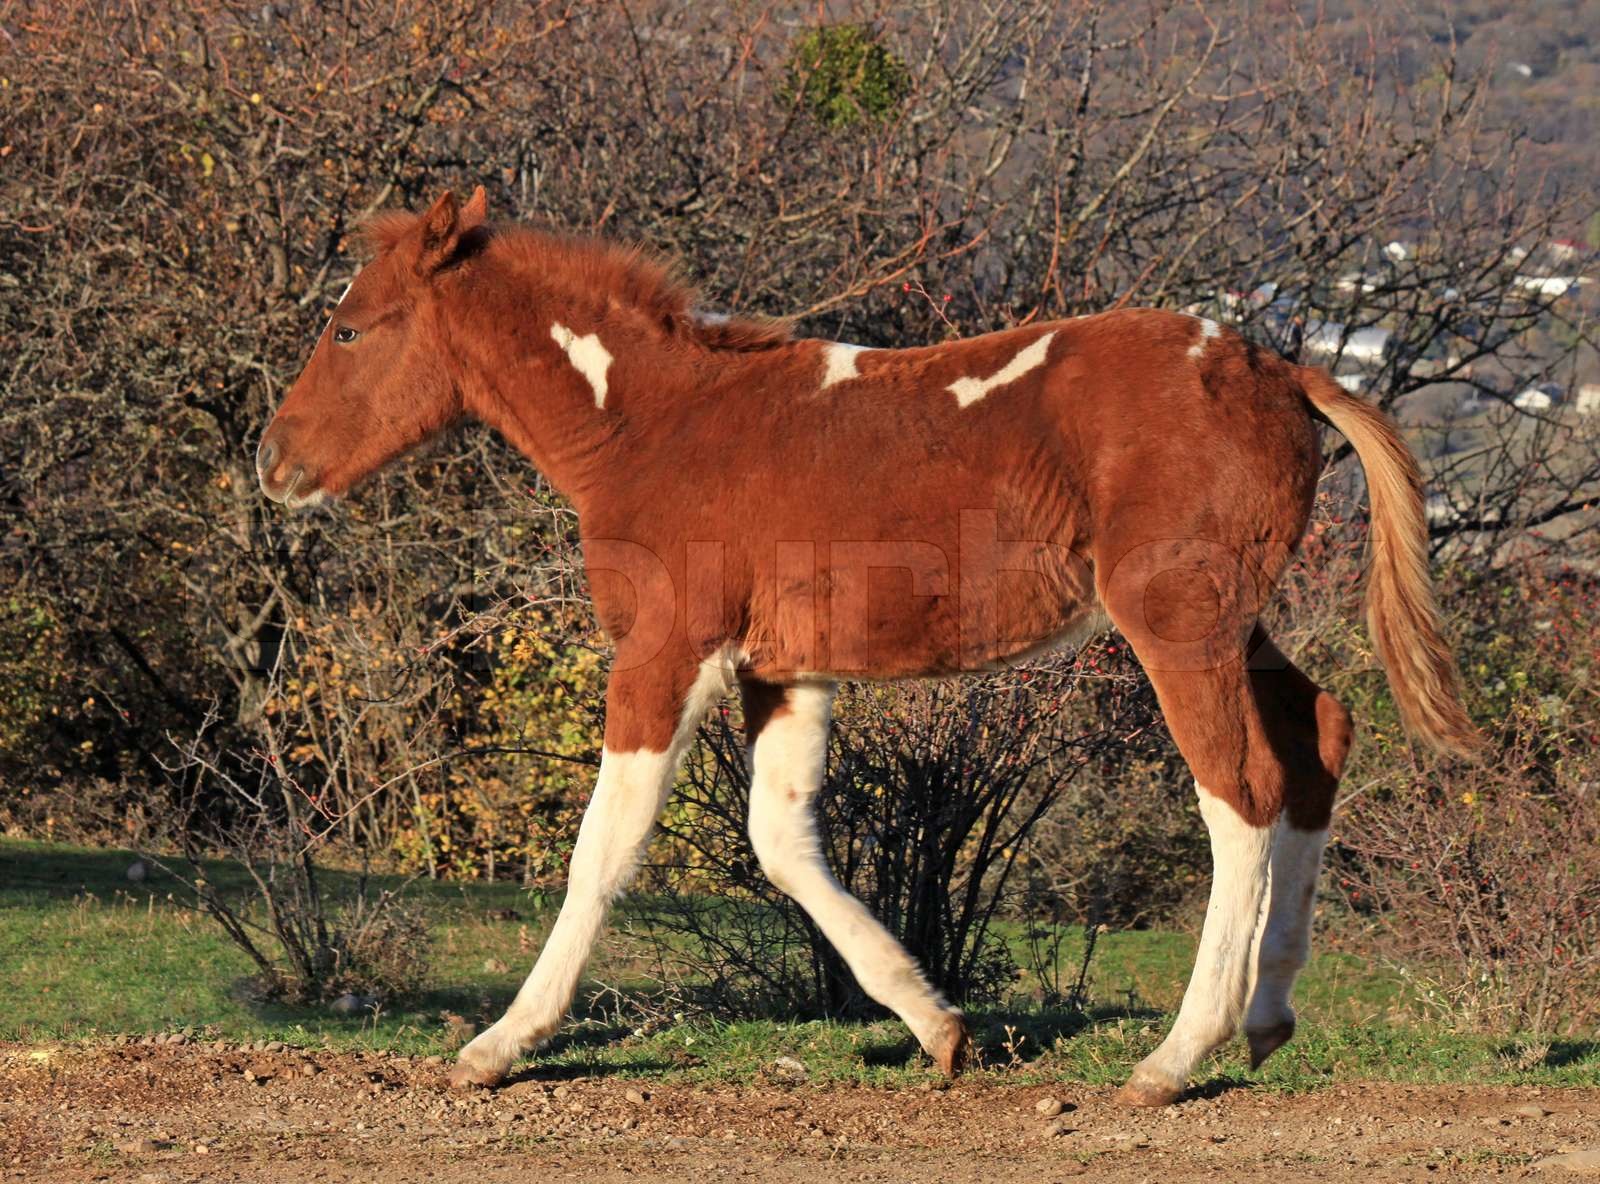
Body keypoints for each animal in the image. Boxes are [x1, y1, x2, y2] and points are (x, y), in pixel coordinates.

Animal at [257, 188, 1478, 1106]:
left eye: (349, 327)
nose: (276, 462)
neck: (653, 426)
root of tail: (1281, 371)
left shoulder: (667, 648)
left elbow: (604, 848)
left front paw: (498, 1045)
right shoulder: (784, 669)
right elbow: (782, 838)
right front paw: (939, 1025)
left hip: (1176, 618)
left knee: (1242, 787)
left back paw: (1176, 1057)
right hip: (1234, 618)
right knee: (1321, 734)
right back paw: (1267, 1018)